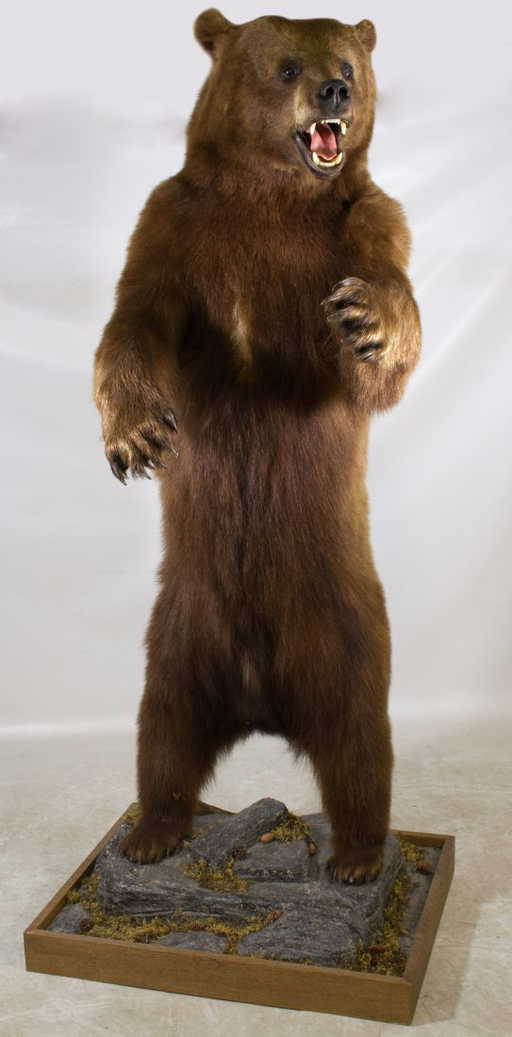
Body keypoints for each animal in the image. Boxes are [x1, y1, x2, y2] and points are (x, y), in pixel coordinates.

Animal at [93, 10, 421, 884]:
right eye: (285, 66)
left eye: (348, 61)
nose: (335, 90)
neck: (272, 196)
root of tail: (261, 696)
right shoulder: (172, 229)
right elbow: (133, 321)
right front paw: (136, 433)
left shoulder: (368, 222)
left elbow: (381, 343)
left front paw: (371, 318)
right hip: (175, 637)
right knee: (162, 739)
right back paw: (150, 834)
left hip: (347, 629)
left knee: (360, 744)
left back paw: (359, 855)